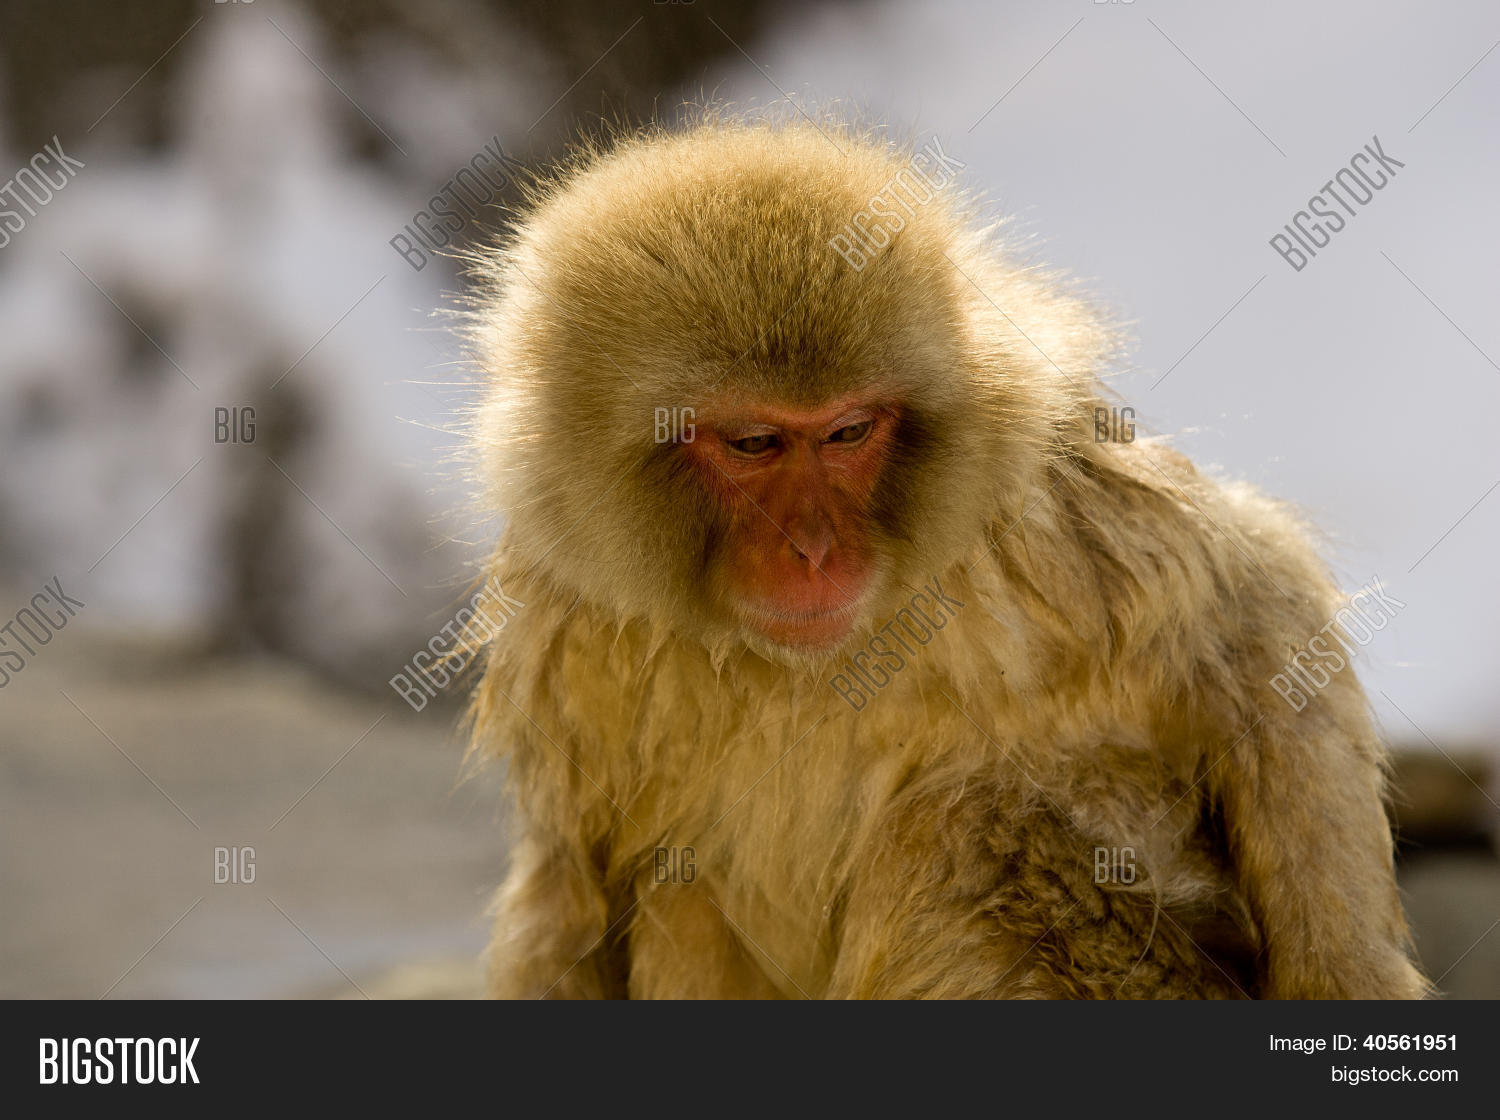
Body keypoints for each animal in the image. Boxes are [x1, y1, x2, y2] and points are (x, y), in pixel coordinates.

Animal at [457, 112, 1428, 999]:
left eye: (848, 433)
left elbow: (1260, 626)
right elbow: (572, 889)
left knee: (956, 829)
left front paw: (1340, 972)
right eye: (753, 444)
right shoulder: (572, 637)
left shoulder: (1038, 517)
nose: (813, 549)